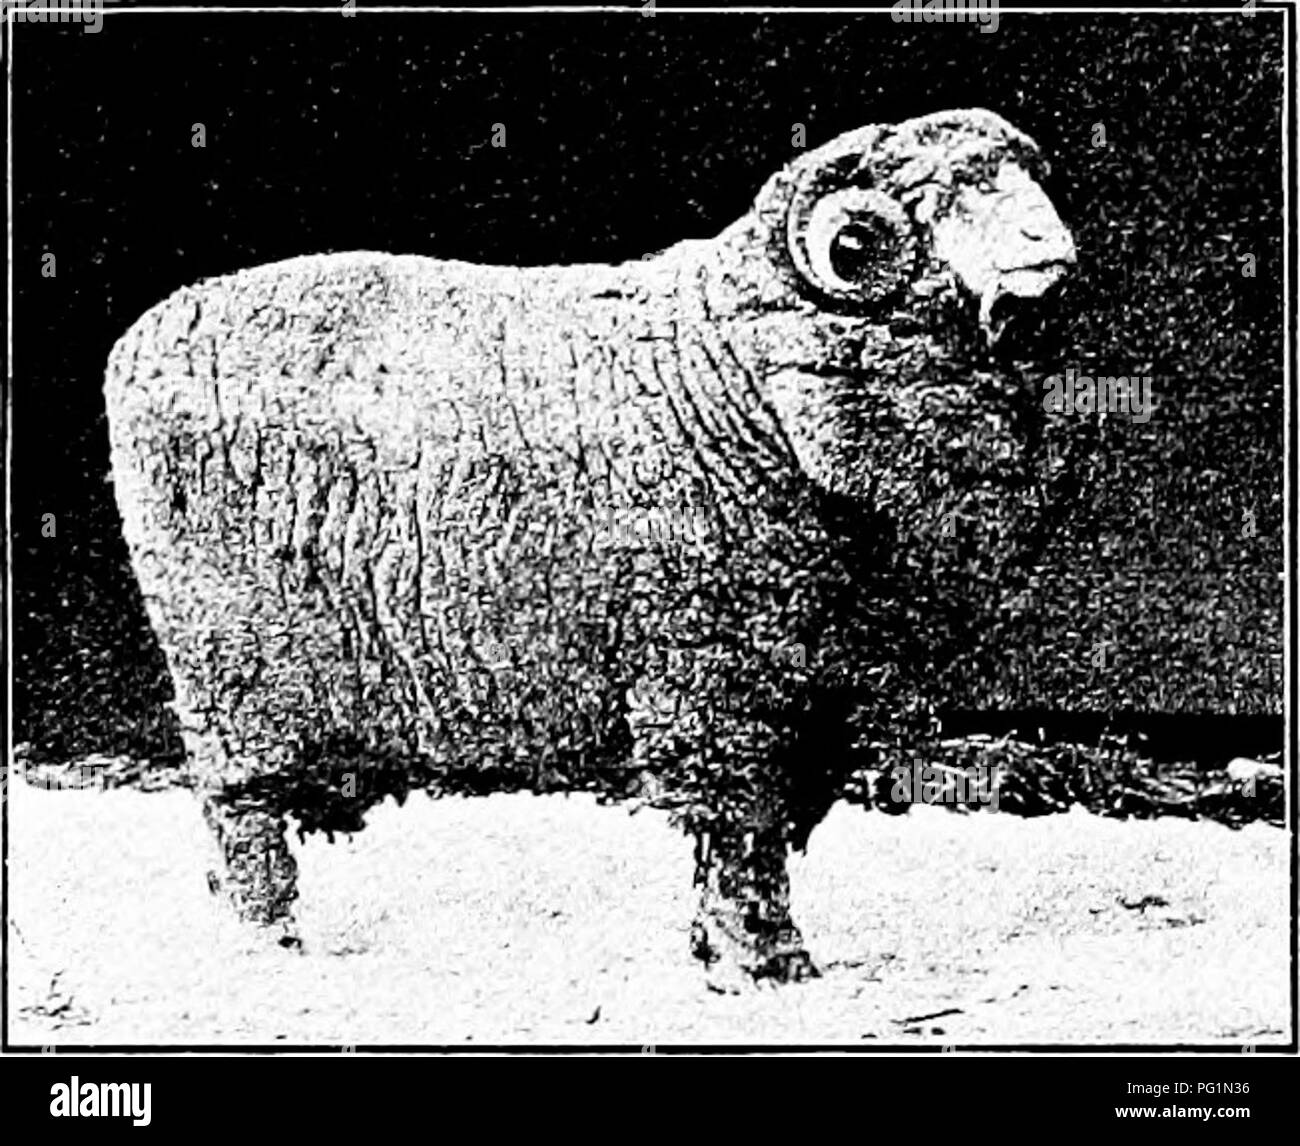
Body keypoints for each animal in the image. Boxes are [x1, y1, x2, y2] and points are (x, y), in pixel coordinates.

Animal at [104, 108, 1076, 989]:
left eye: (1024, 176)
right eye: (941, 196)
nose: (1051, 246)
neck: (734, 375)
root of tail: (138, 341)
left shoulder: (810, 674)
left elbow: (758, 827)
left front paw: (725, 951)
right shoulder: (709, 673)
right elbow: (741, 824)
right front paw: (764, 962)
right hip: (231, 674)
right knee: (242, 816)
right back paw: (267, 941)